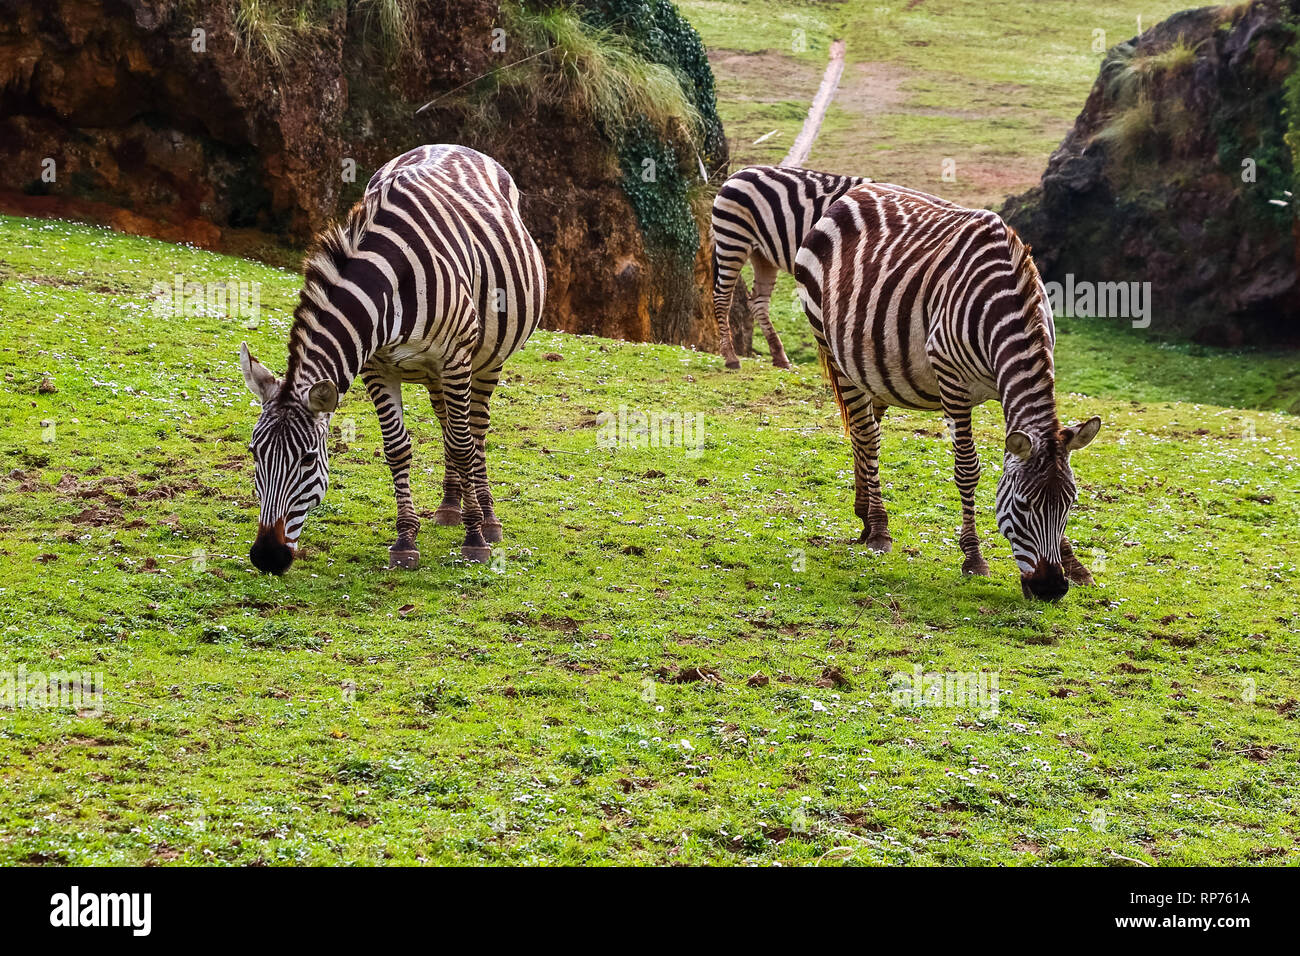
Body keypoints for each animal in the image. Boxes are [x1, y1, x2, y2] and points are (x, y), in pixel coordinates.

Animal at [238, 144, 546, 573]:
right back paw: (450, 506)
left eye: (309, 460)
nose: (267, 557)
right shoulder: (376, 367)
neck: (392, 282)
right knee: (449, 426)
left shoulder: (455, 358)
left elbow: (465, 445)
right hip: (437, 375)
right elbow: (398, 449)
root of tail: (458, 145)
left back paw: (486, 517)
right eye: (254, 454)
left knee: (475, 432)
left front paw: (475, 538)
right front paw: (405, 539)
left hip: (485, 360)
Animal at [711, 164, 871, 370]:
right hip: (733, 239)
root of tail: (740, 172)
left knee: (758, 301)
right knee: (722, 296)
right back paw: (731, 357)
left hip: (763, 255)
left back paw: (779, 357)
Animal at [793, 182, 1101, 600]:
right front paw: (973, 557)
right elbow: (967, 469)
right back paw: (879, 529)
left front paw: (1074, 564)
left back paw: (865, 517)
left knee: (864, 431)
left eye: (1070, 505)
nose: (1051, 589)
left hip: (872, 366)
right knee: (866, 436)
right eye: (1021, 506)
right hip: (831, 345)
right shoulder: (952, 381)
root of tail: (857, 191)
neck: (1004, 309)